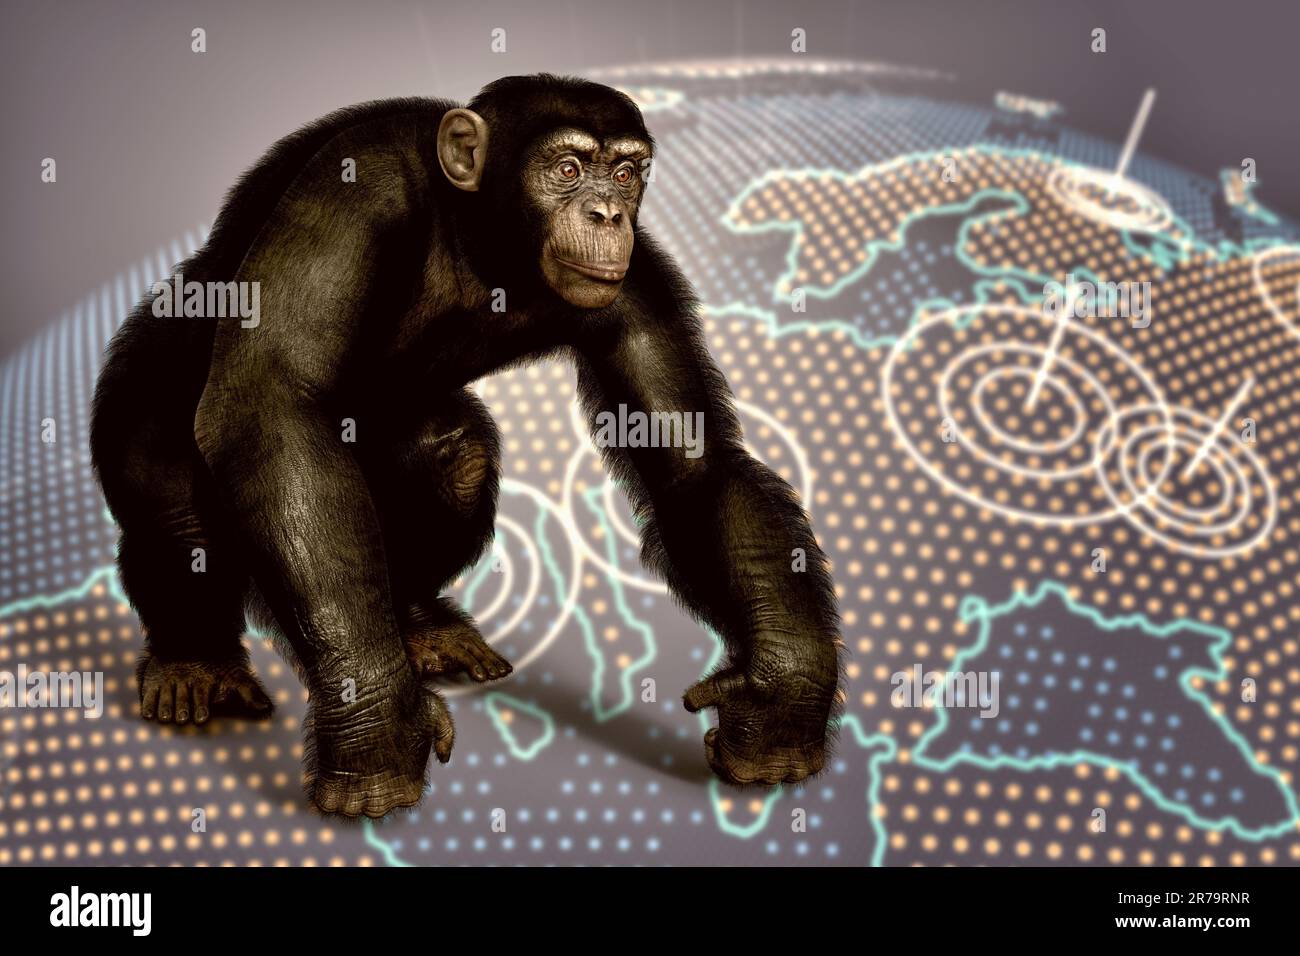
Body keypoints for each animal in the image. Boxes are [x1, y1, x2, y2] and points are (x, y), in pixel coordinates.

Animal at [90, 74, 843, 818]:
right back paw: (197, 663)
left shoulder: (639, 285)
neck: (479, 239)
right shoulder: (351, 193)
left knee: (455, 459)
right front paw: (376, 725)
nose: (608, 213)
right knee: (175, 512)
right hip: (143, 377)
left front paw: (780, 691)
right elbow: (273, 400)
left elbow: (693, 462)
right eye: (568, 168)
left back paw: (418, 626)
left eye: (628, 173)